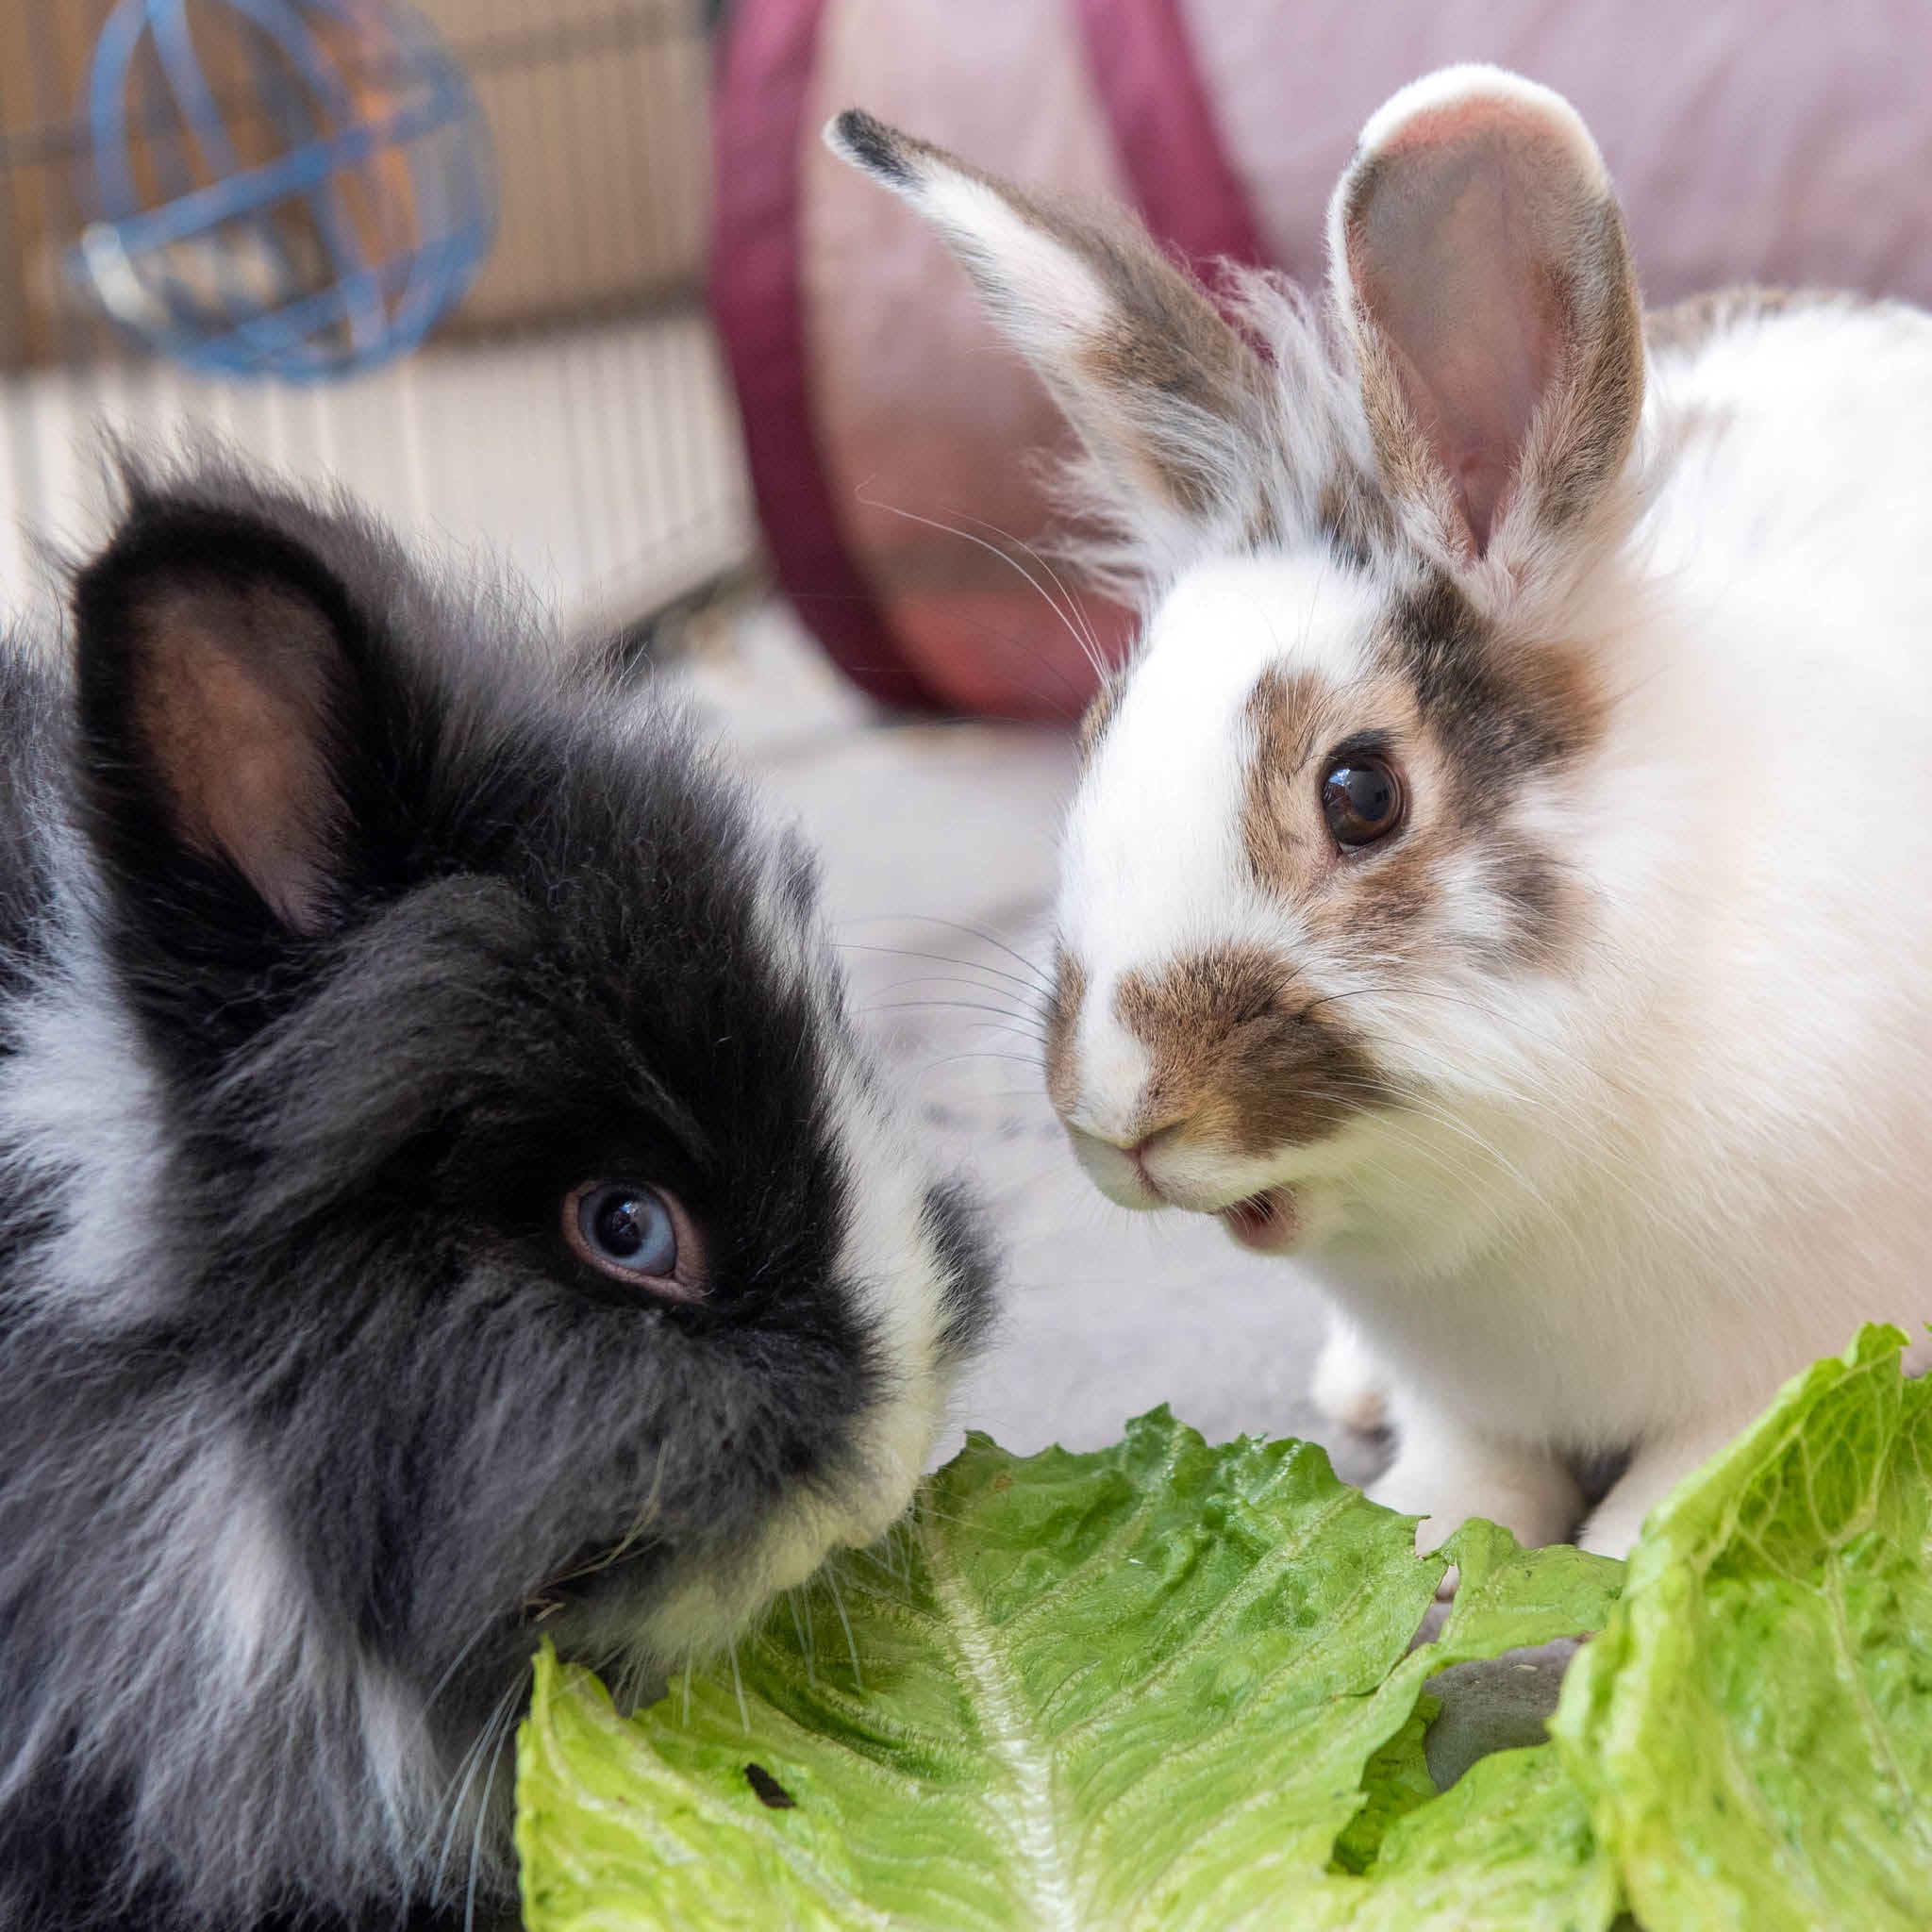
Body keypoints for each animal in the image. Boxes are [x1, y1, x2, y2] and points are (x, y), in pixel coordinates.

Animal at [828, 65, 1932, 1565]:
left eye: (1360, 794)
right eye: (1099, 734)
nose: (1117, 1111)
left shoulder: (1792, 1350)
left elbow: (1702, 1468)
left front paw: (1621, 1553)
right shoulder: (1466, 1383)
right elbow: (1473, 1459)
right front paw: (1422, 1523)